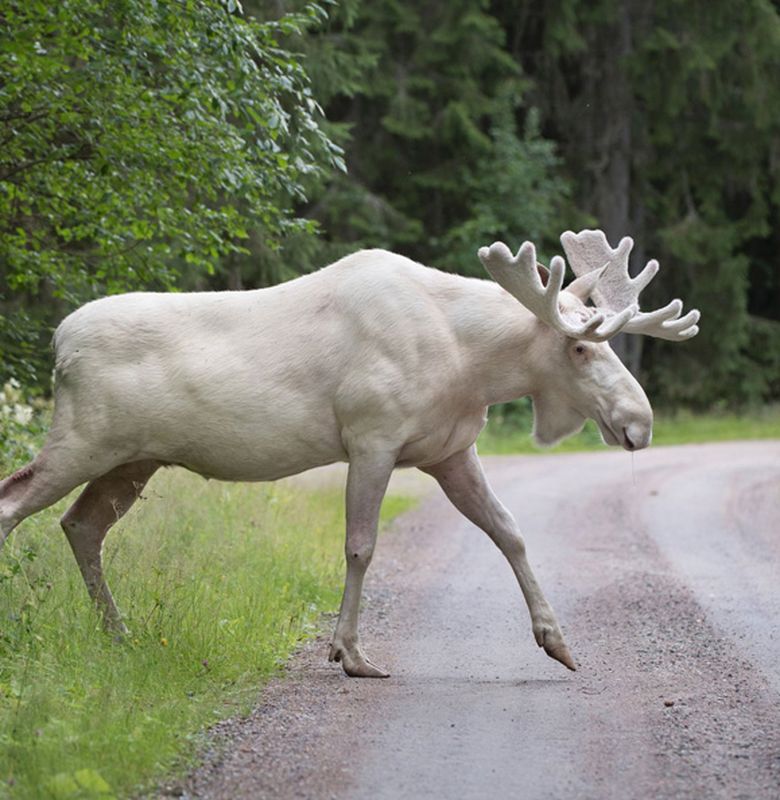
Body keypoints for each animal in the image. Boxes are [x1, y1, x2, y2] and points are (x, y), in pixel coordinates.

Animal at [0, 229, 699, 678]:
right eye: (579, 348)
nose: (640, 422)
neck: (470, 364)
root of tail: (58, 343)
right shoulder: (371, 436)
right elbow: (361, 545)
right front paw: (351, 654)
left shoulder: (450, 451)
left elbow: (511, 532)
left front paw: (557, 643)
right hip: (83, 440)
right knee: (14, 503)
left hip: (132, 459)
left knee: (80, 525)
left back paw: (119, 634)